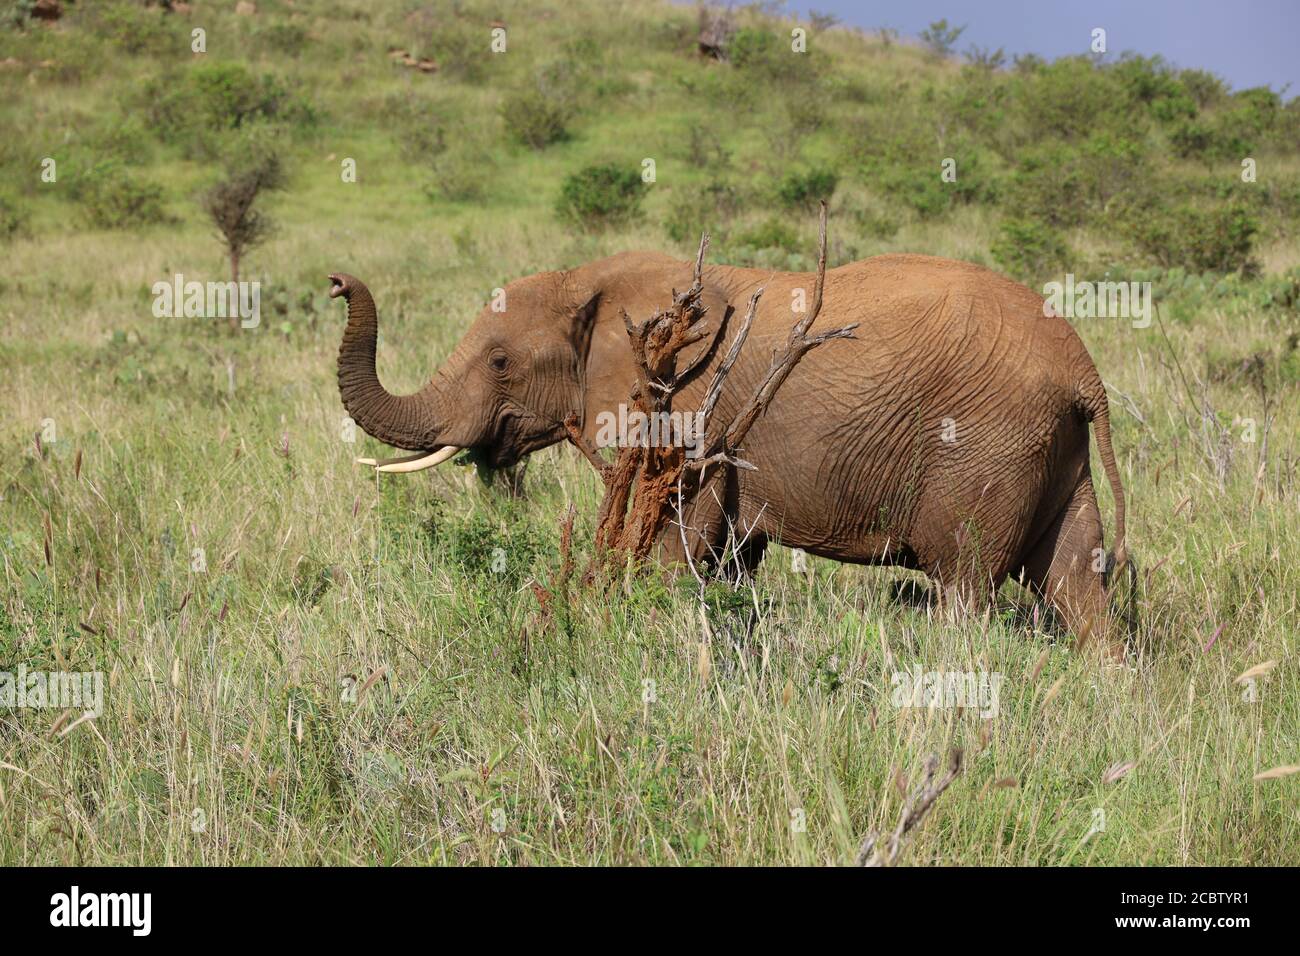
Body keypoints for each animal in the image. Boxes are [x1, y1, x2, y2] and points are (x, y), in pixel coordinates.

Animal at [331, 250, 1128, 654]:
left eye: (500, 362)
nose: (337, 281)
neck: (591, 279)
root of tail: (1084, 369)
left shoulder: (693, 415)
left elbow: (681, 544)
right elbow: (731, 562)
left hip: (986, 444)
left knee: (965, 585)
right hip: (1052, 449)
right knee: (1076, 583)